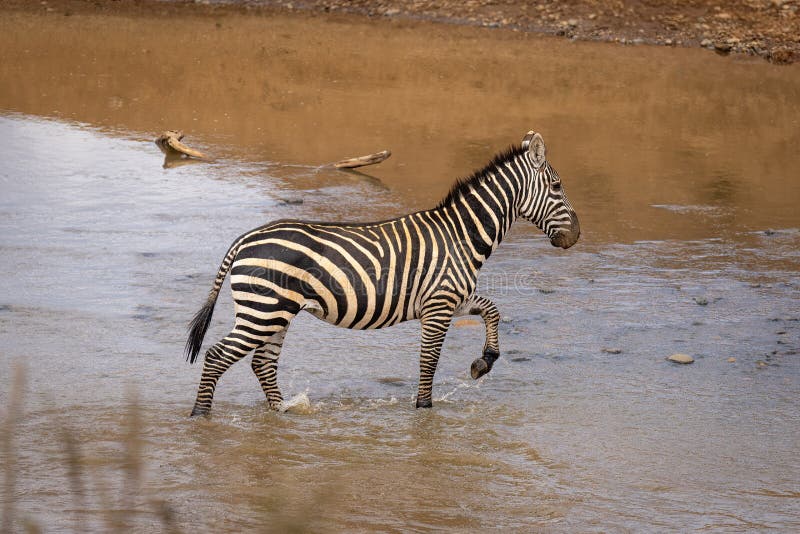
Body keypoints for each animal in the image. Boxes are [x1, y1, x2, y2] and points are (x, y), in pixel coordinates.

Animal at [185, 130, 580, 415]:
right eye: (557, 186)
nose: (575, 235)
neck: (461, 236)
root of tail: (245, 239)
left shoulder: (452, 298)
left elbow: (492, 309)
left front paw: (485, 362)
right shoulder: (438, 306)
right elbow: (429, 362)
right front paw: (424, 410)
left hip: (275, 313)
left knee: (262, 364)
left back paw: (282, 411)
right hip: (263, 311)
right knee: (218, 356)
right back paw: (201, 416)